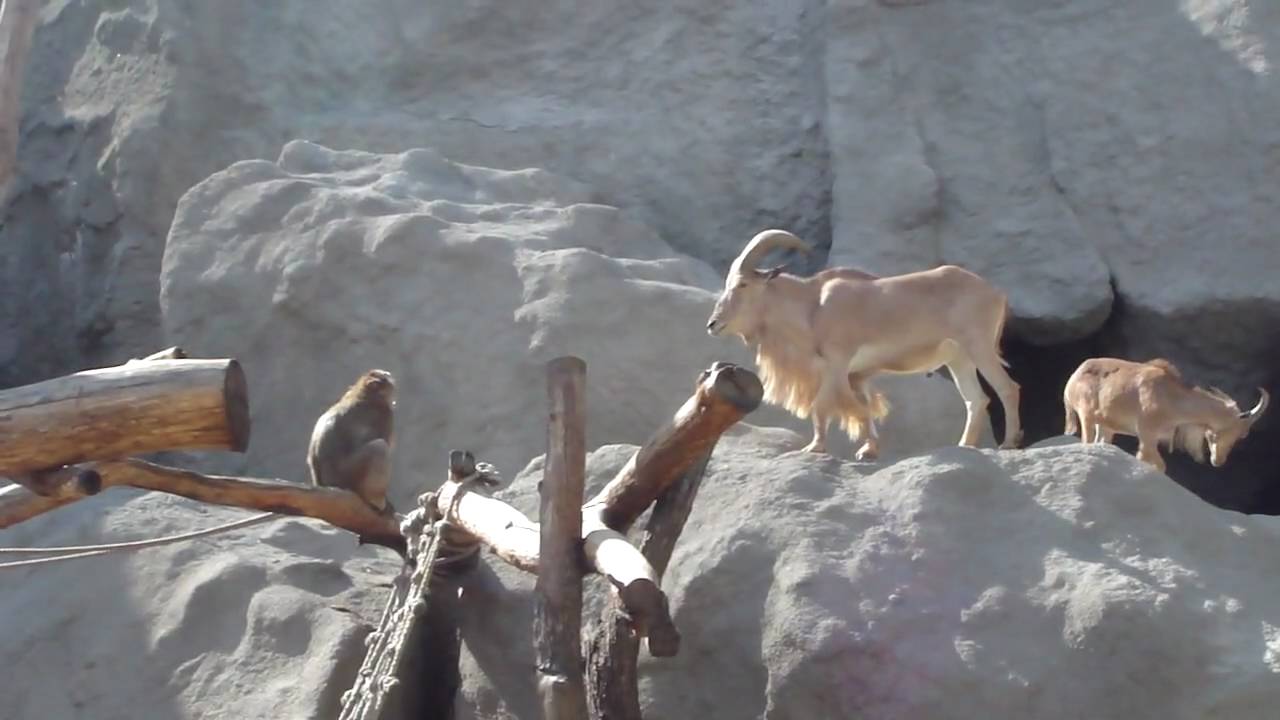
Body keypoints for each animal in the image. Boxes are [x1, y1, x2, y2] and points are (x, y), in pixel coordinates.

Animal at [307, 368, 398, 516]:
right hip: (347, 475)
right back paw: (377, 502)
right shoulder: (385, 416)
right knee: (379, 448)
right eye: (384, 375)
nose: (388, 373)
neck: (363, 395)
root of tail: (328, 484)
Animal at [705, 228, 1022, 460]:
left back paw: (1008, 443)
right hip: (958, 358)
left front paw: (814, 447)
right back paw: (964, 446)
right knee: (975, 399)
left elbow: (822, 406)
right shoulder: (856, 375)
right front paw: (868, 450)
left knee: (1007, 388)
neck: (813, 308)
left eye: (743, 285)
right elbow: (863, 408)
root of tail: (996, 293)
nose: (713, 324)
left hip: (978, 346)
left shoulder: (836, 363)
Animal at [1063, 356, 1269, 472]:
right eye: (1215, 434)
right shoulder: (1146, 436)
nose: (1218, 461)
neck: (1171, 398)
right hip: (1086, 416)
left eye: (1240, 436)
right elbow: (1156, 464)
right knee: (1086, 440)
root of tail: (1074, 377)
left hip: (1105, 427)